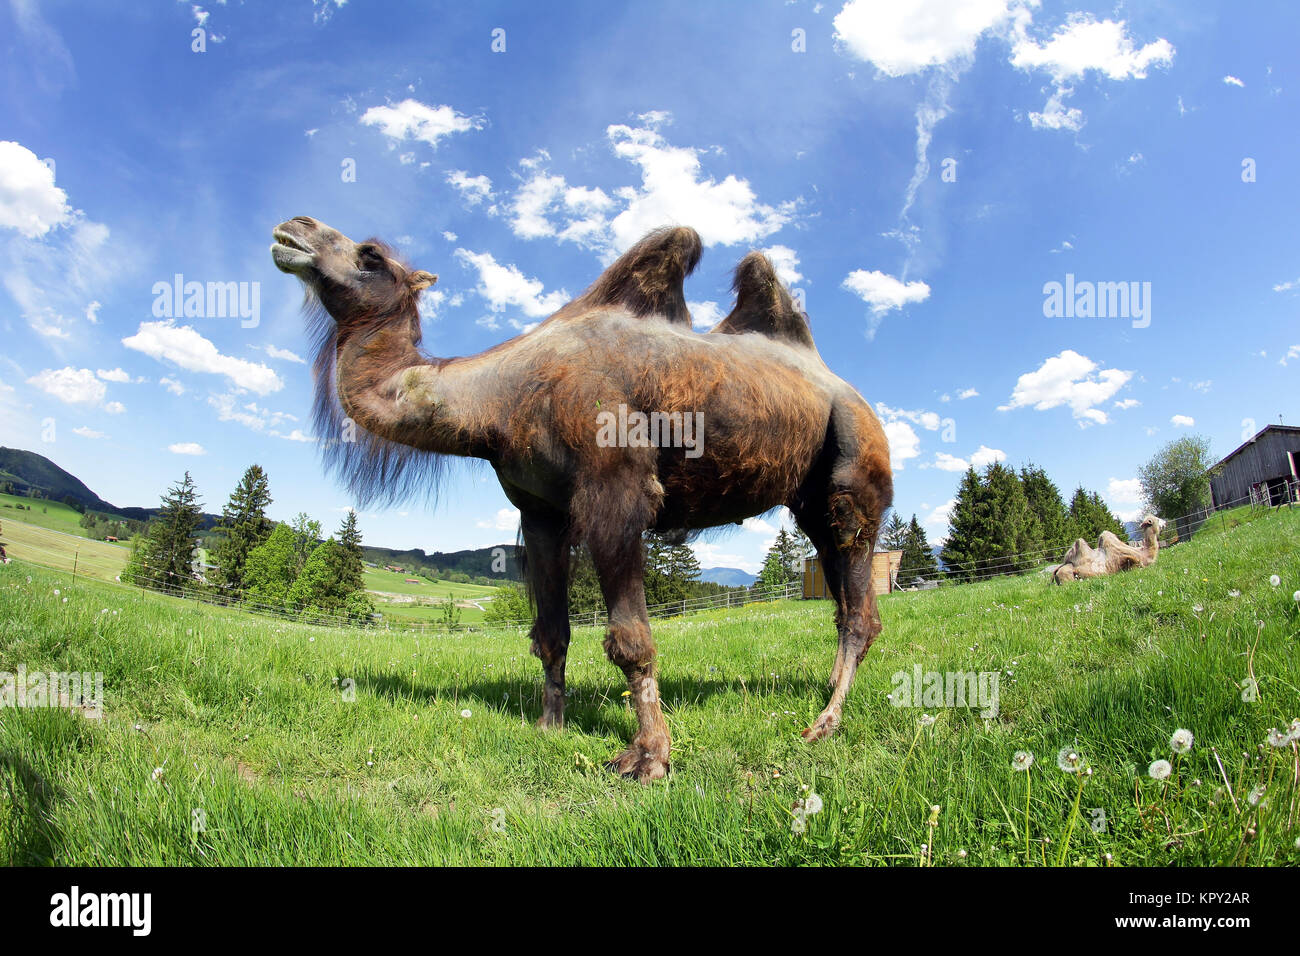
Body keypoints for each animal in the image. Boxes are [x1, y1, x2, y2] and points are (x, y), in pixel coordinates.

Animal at [270, 216, 892, 782]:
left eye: (370, 255)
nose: (293, 228)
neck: (499, 399)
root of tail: (847, 389)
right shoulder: (540, 510)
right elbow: (551, 634)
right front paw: (551, 727)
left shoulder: (615, 491)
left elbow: (630, 639)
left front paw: (650, 758)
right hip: (809, 501)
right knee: (843, 600)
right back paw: (823, 694)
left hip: (854, 468)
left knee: (861, 609)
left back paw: (823, 724)